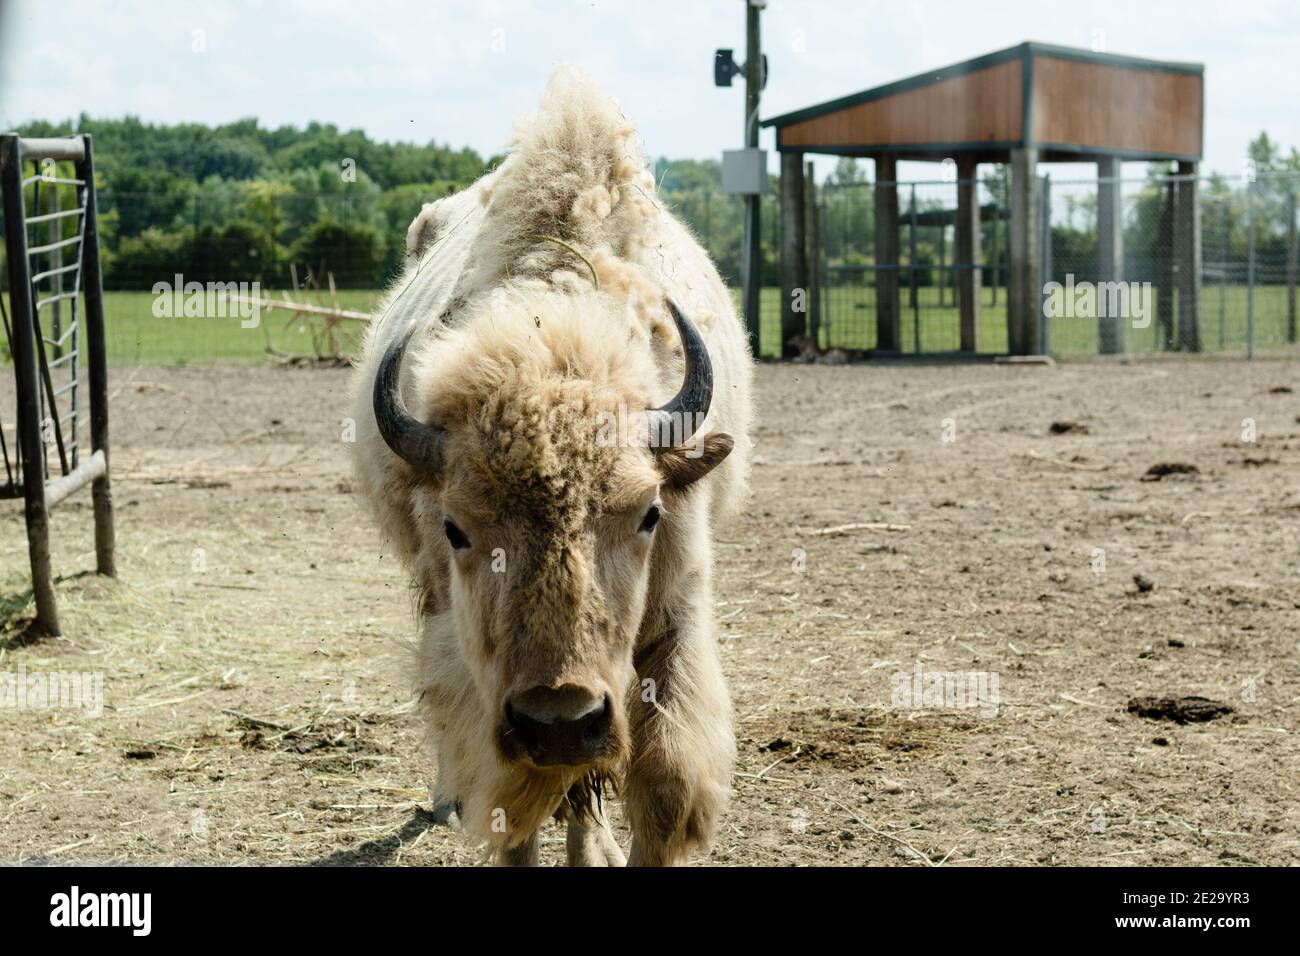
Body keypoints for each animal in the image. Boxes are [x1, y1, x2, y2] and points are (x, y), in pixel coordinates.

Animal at [349, 68, 752, 866]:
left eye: (649, 513)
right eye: (456, 528)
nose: (561, 719)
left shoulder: (678, 614)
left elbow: (663, 787)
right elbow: (515, 807)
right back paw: (443, 798)